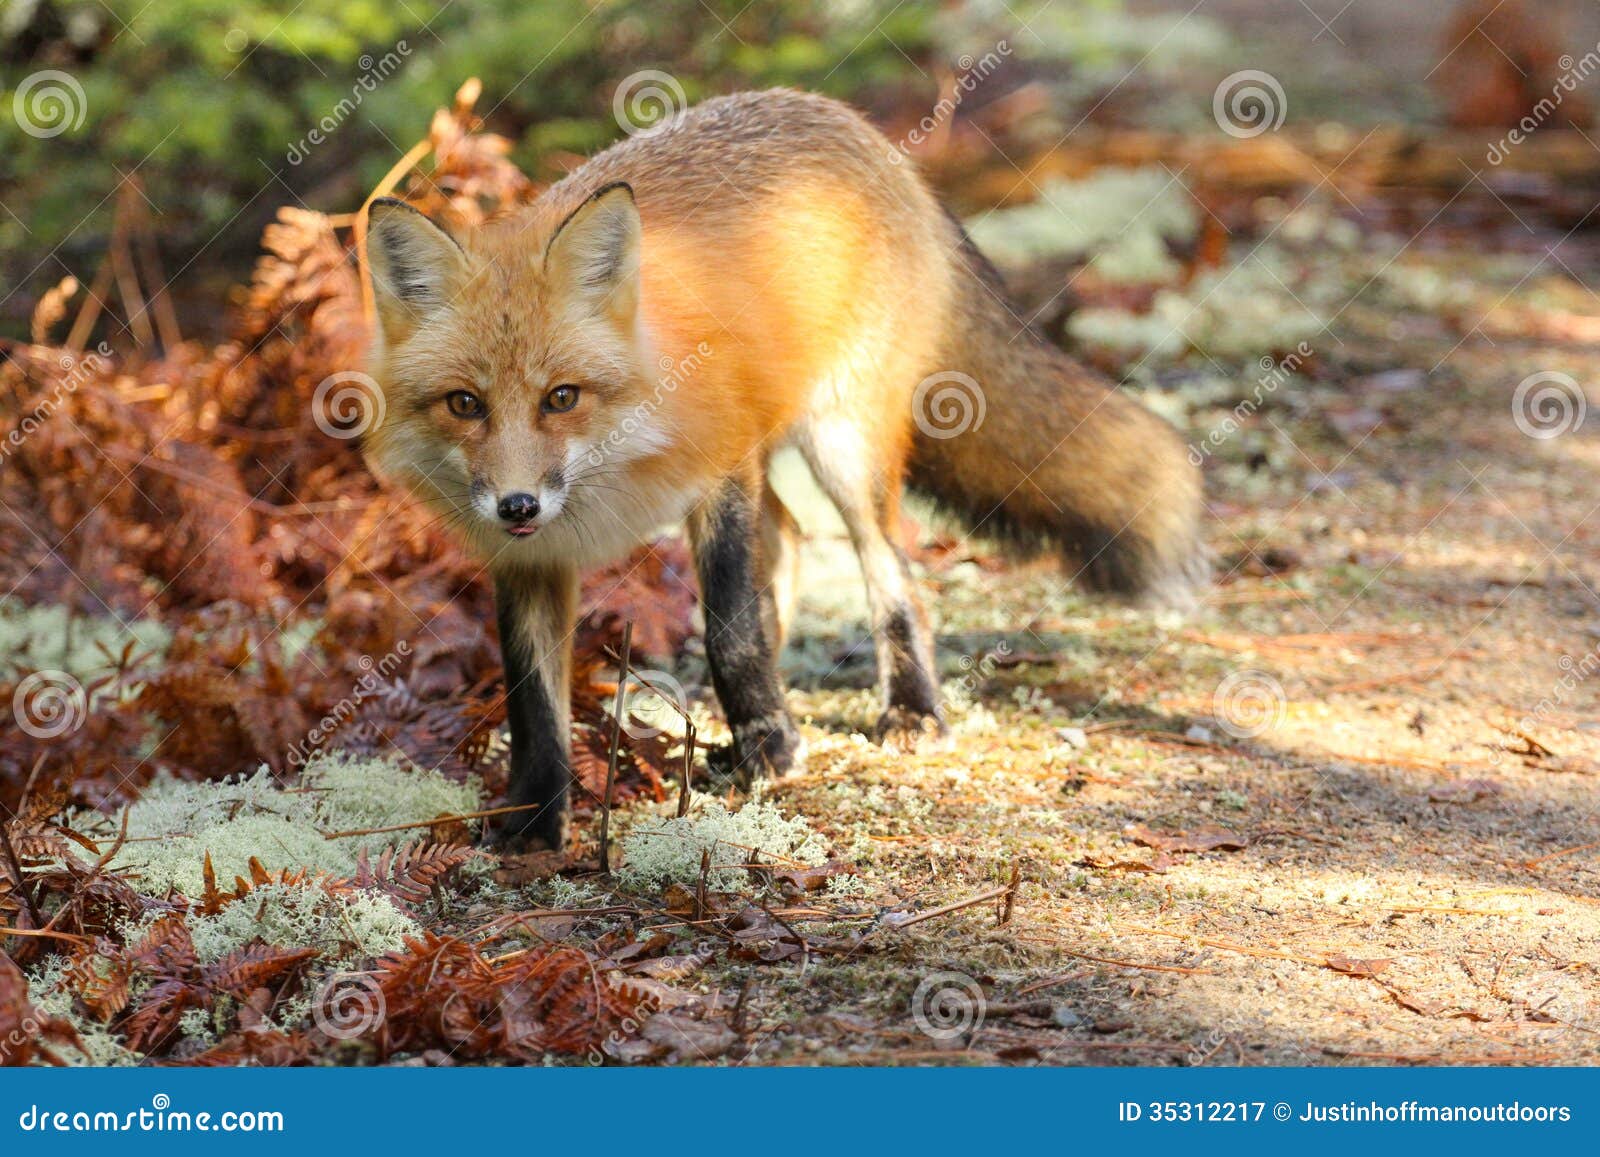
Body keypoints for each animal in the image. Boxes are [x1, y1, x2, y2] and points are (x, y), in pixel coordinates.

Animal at [362, 88, 1207, 851]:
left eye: (560, 397)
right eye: (464, 403)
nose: (518, 504)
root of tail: (851, 125)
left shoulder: (720, 468)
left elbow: (732, 626)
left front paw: (770, 745)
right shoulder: (528, 560)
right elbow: (531, 695)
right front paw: (535, 815)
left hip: (843, 446)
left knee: (892, 575)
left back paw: (909, 708)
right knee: (795, 541)